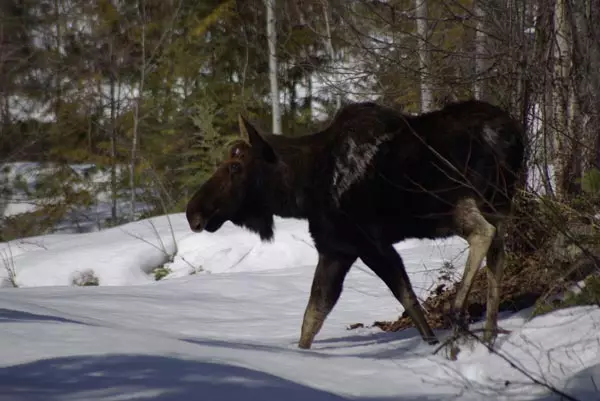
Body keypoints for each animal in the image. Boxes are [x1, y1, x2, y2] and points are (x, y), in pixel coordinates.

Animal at [185, 100, 524, 356]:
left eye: (235, 166)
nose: (192, 213)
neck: (302, 191)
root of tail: (510, 138)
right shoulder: (342, 249)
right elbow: (316, 314)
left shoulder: (360, 244)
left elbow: (399, 299)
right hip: (499, 202)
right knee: (498, 252)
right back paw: (490, 334)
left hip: (453, 203)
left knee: (483, 234)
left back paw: (458, 314)